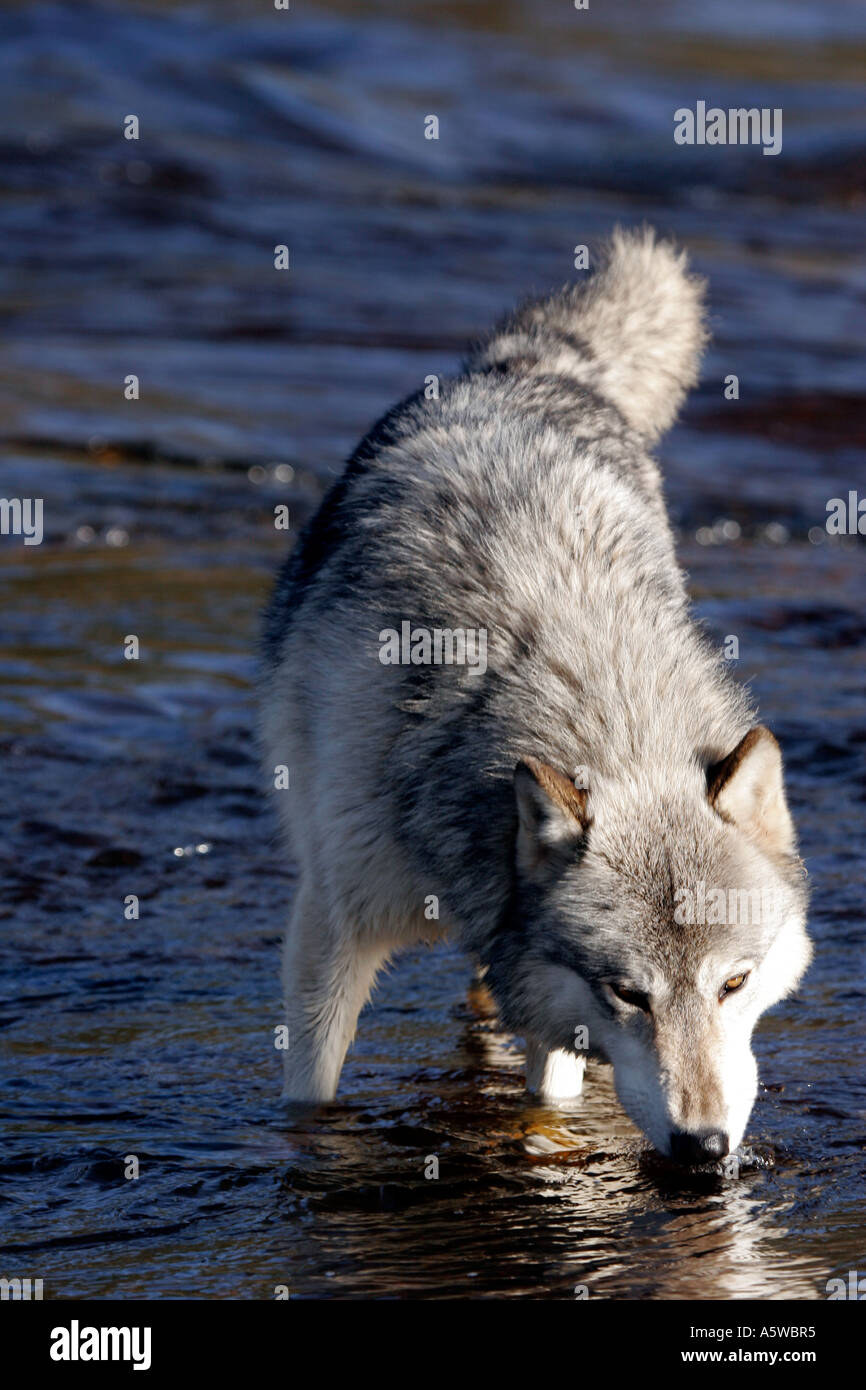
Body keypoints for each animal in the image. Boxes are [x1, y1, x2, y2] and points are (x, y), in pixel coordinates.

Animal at [259, 228, 811, 1164]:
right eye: (629, 994)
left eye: (735, 982)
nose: (704, 1149)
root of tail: (525, 366)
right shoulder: (333, 927)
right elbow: (312, 1089)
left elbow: (552, 1082)